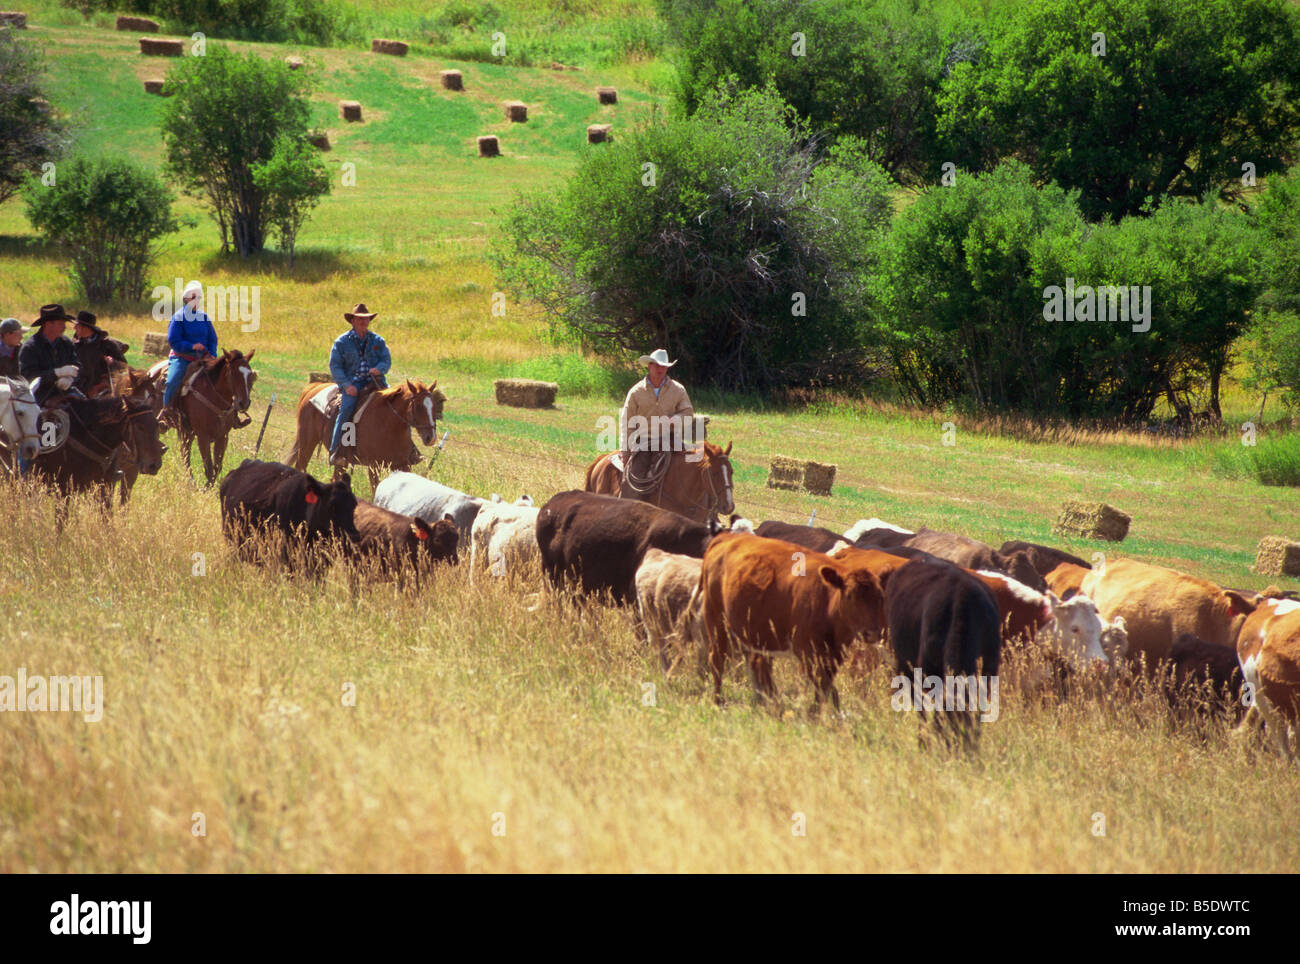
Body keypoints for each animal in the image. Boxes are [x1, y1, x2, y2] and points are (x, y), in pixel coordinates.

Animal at [700, 532, 885, 713]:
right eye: (849, 595)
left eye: (880, 598)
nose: (872, 633)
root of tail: (727, 536)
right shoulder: (807, 653)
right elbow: (826, 688)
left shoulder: (833, 655)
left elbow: (826, 690)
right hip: (716, 621)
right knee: (717, 661)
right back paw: (719, 702)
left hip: (754, 634)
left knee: (757, 665)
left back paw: (767, 702)